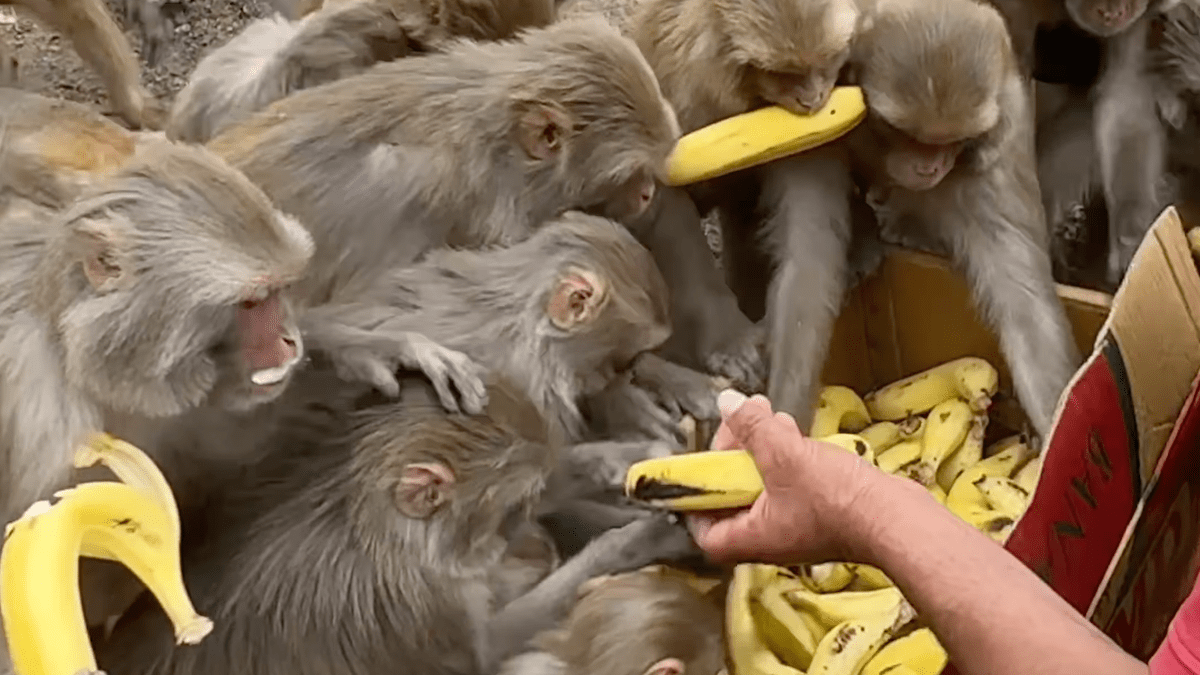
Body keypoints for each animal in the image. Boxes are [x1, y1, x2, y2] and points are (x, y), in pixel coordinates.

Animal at [95, 372, 702, 675]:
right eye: (509, 513)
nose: (522, 534)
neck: (374, 525)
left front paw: (620, 458)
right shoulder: (419, 606)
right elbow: (486, 652)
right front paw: (627, 545)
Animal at [746, 0, 1080, 439]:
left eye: (950, 140)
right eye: (904, 132)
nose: (928, 167)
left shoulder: (999, 142)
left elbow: (1022, 298)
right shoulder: (820, 128)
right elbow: (809, 253)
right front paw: (778, 423)